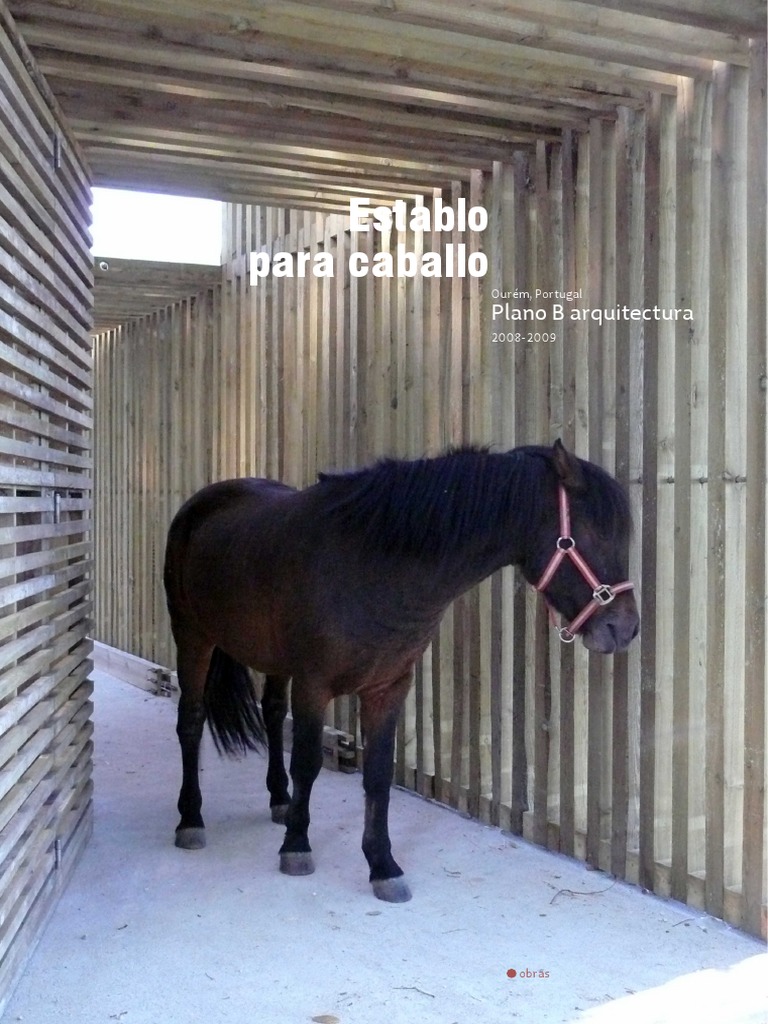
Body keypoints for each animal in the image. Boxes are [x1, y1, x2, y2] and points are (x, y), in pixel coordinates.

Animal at [163, 440, 639, 903]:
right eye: (585, 535)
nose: (625, 628)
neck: (374, 565)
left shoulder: (388, 687)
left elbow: (378, 775)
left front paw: (382, 866)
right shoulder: (315, 684)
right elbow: (309, 762)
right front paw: (297, 847)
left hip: (276, 660)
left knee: (274, 714)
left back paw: (280, 800)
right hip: (193, 638)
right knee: (191, 723)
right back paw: (191, 819)